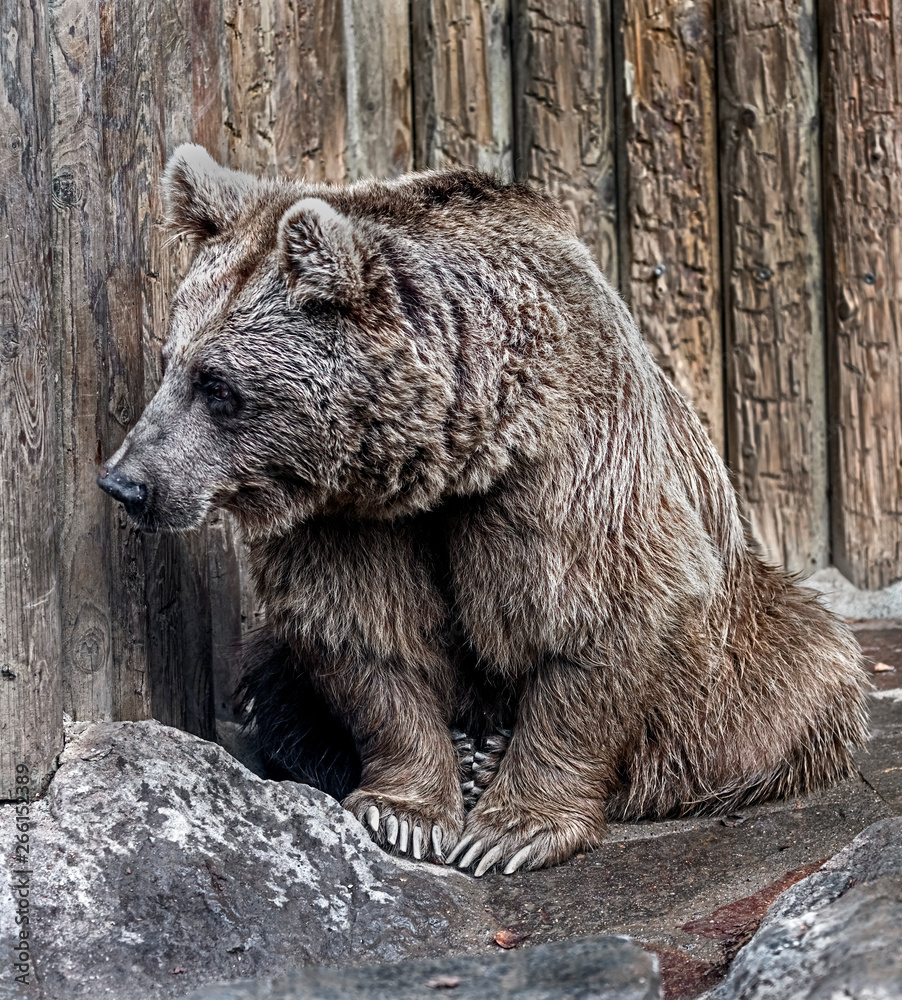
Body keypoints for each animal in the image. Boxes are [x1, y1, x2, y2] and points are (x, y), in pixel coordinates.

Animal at [98, 144, 869, 876]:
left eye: (218, 385)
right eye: (169, 361)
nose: (127, 482)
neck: (453, 455)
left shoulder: (571, 467)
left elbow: (598, 616)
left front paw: (511, 829)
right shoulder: (348, 516)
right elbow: (364, 634)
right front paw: (408, 810)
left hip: (737, 652)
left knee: (796, 682)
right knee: (272, 681)